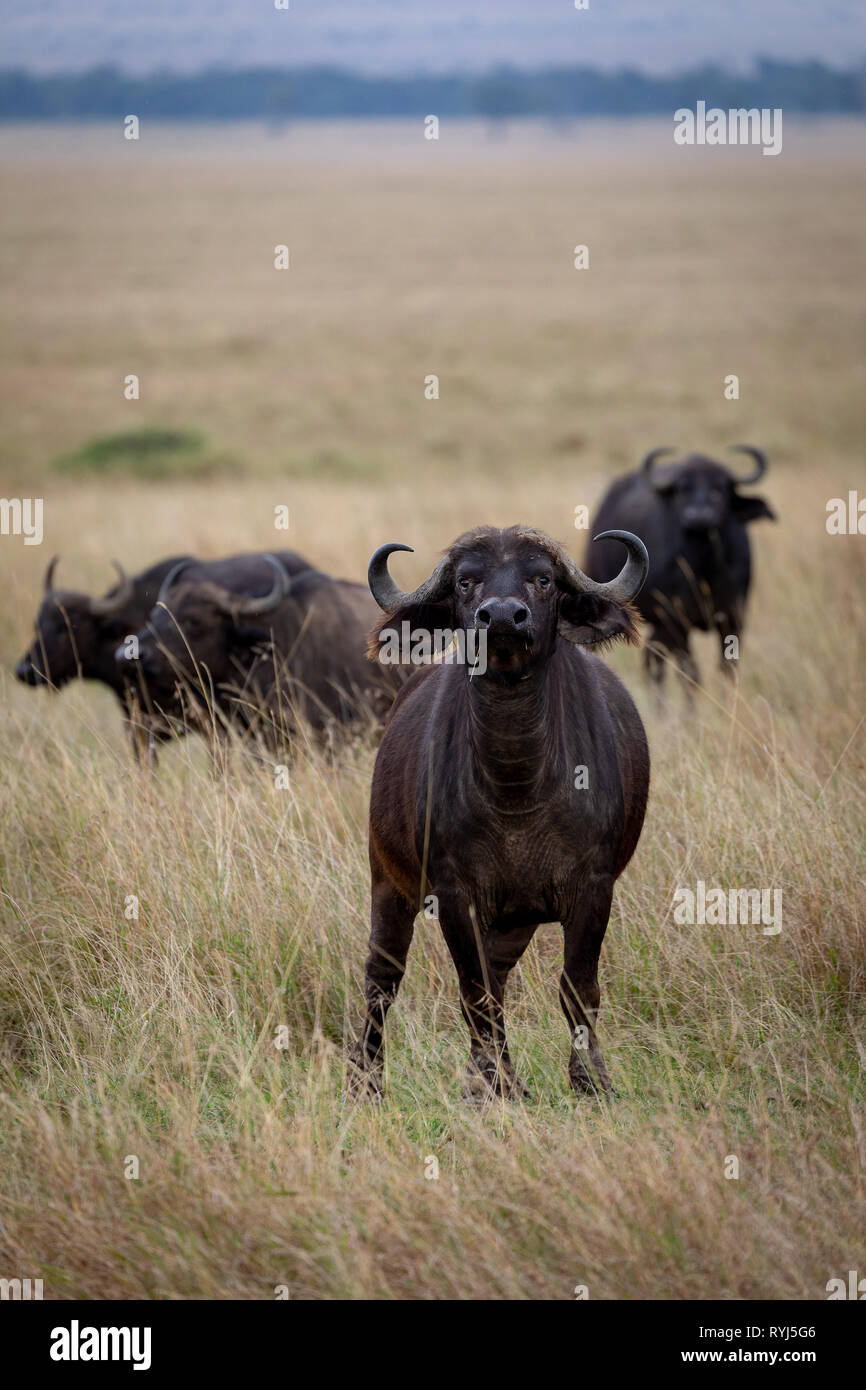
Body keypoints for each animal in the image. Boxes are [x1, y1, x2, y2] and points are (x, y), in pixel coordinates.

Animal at [348, 525, 650, 1102]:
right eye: (466, 581)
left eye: (543, 579)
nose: (505, 617)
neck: (517, 786)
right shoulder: (453, 894)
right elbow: (475, 991)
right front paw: (498, 1085)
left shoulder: (593, 887)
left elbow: (577, 988)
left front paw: (589, 1082)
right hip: (387, 880)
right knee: (382, 977)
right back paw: (365, 1080)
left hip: (514, 918)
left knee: (501, 973)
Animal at [585, 445, 775, 690]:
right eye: (684, 488)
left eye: (720, 488)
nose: (699, 516)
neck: (706, 569)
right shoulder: (677, 621)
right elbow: (689, 672)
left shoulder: (734, 619)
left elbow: (727, 669)